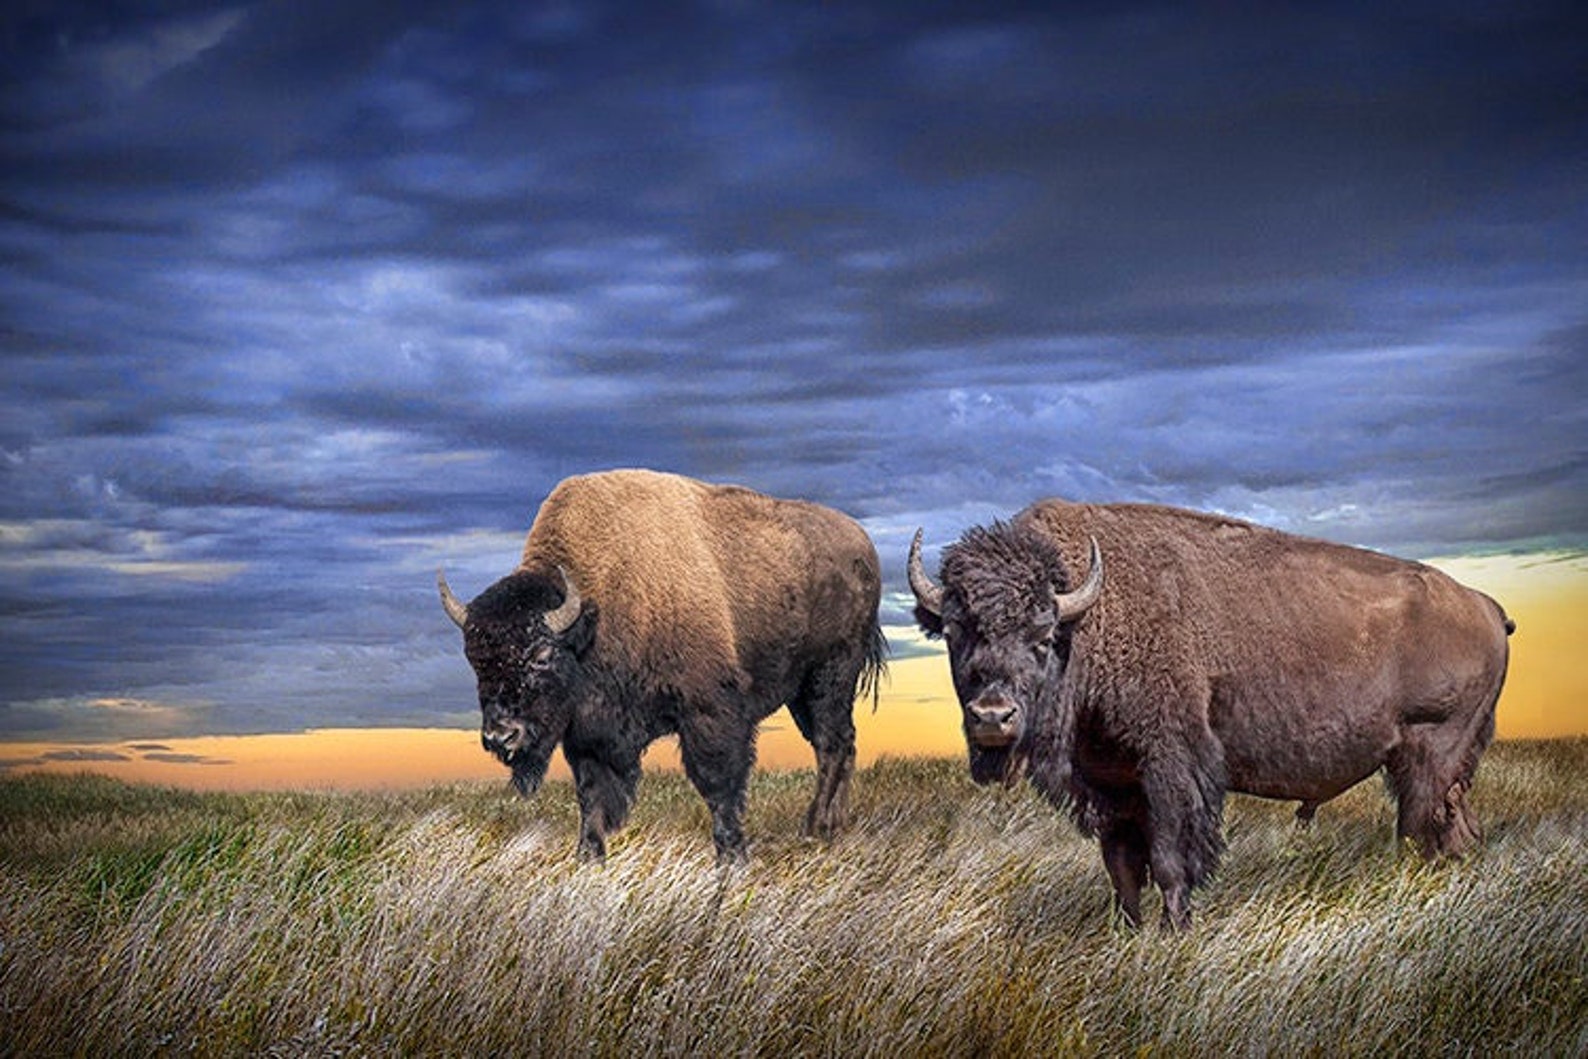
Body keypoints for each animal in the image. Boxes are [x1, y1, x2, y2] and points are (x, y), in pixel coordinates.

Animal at [439, 469, 886, 862]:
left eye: (541, 656)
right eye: (474, 661)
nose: (500, 737)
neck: (594, 612)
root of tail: (863, 544)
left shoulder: (710, 712)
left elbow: (718, 784)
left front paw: (732, 857)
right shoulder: (589, 733)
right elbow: (592, 796)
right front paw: (589, 856)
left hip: (830, 674)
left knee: (832, 744)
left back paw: (814, 828)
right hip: (801, 693)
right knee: (842, 745)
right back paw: (833, 825)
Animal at [909, 499, 1513, 929]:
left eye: (1042, 635)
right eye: (956, 632)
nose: (993, 716)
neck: (1093, 618)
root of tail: (1485, 606)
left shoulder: (1170, 770)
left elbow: (1170, 859)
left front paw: (1175, 931)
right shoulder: (1109, 785)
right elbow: (1122, 867)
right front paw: (1128, 931)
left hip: (1430, 754)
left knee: (1422, 830)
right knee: (1455, 828)